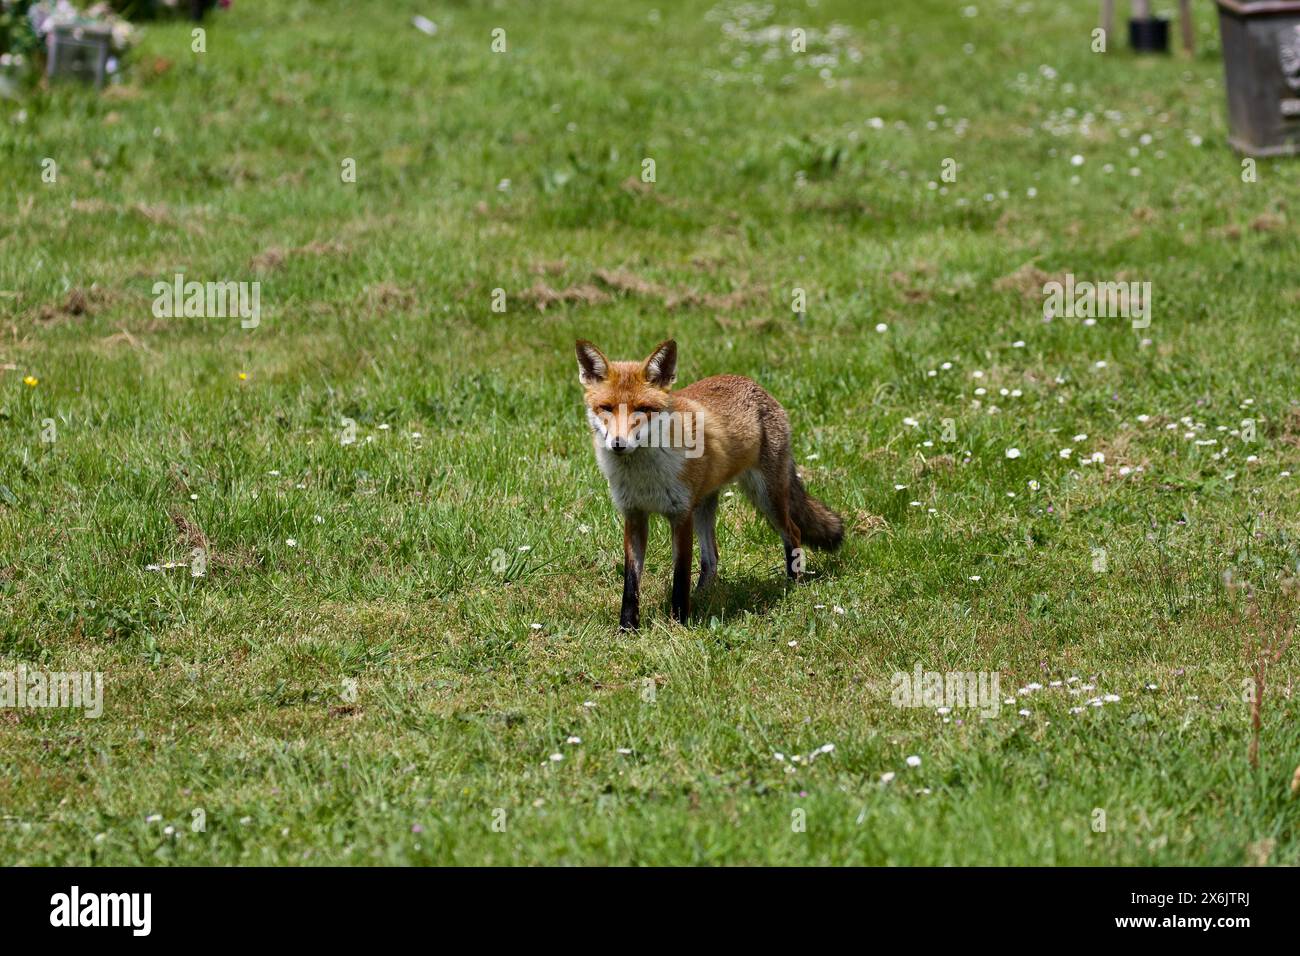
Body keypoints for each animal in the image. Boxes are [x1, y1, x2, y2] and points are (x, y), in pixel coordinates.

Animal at [576, 338, 844, 630]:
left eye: (642, 409)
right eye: (606, 407)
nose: (618, 444)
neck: (644, 478)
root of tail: (756, 385)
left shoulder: (680, 515)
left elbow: (680, 576)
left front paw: (679, 622)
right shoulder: (634, 515)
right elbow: (631, 582)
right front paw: (627, 628)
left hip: (766, 497)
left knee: (793, 533)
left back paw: (792, 584)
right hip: (705, 505)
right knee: (712, 558)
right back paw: (703, 595)